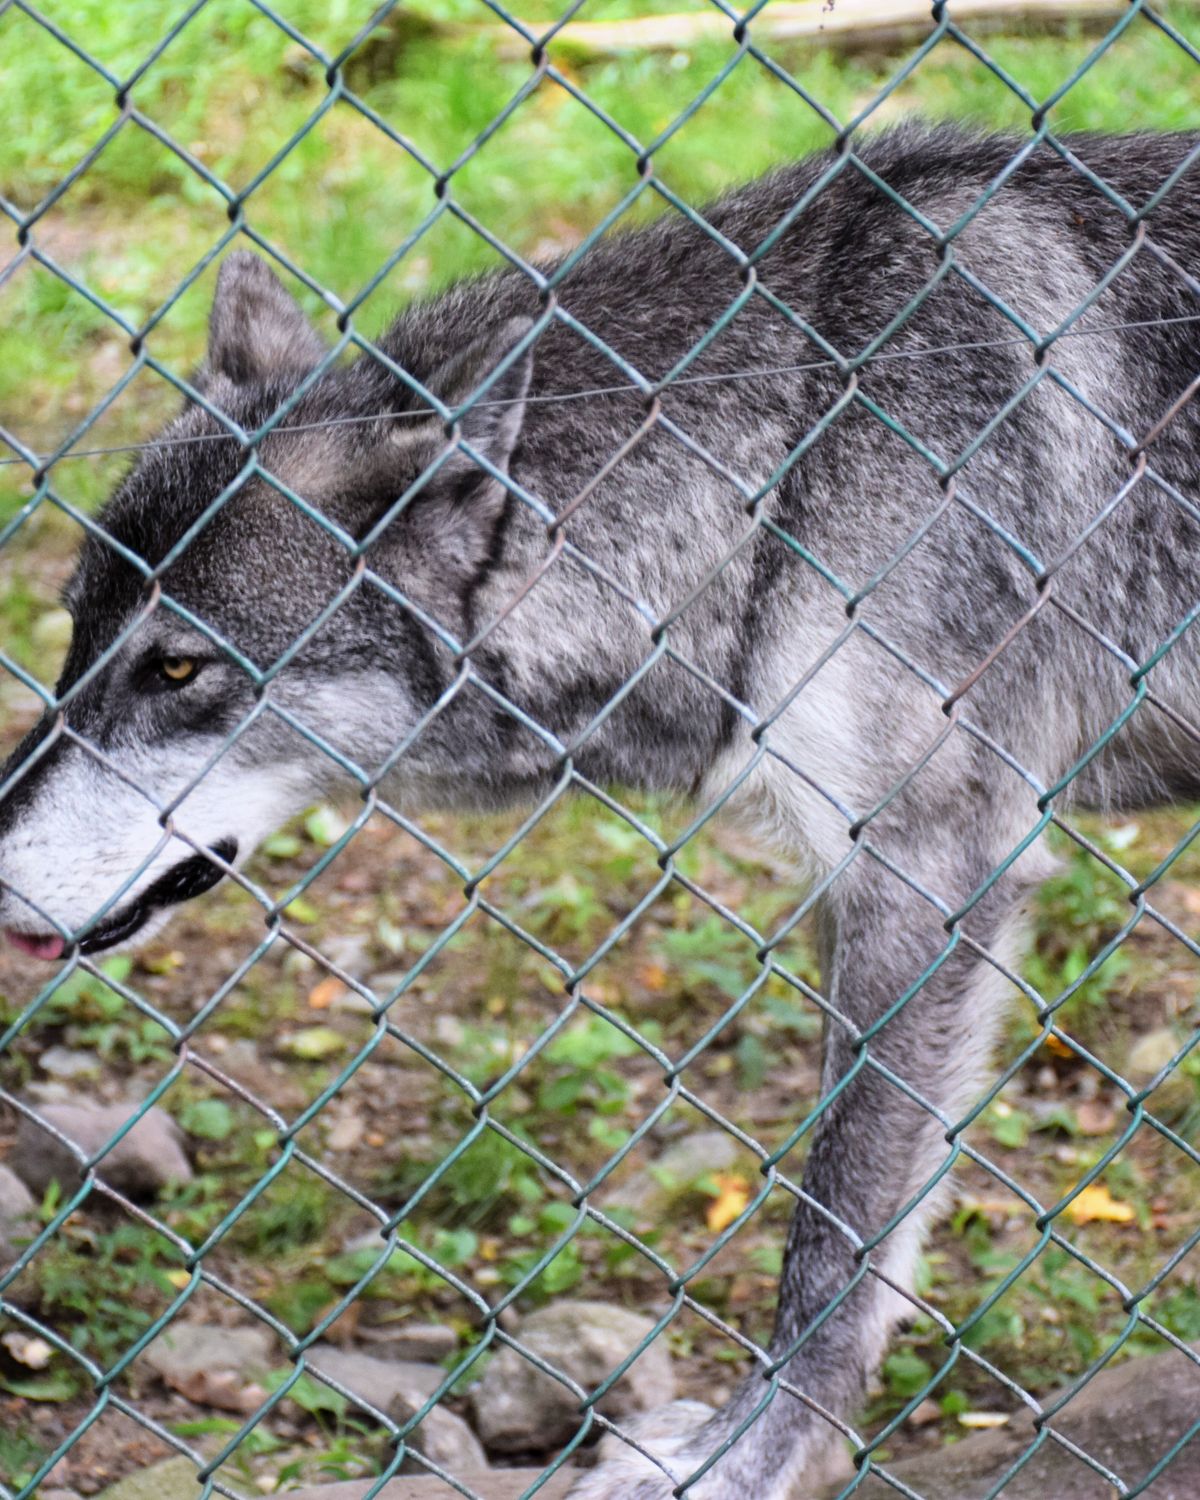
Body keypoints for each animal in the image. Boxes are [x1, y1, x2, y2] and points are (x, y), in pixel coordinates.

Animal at [2, 124, 1199, 1496]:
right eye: (76, 637)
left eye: (178, 668)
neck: (789, 453)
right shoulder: (859, 882)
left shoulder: (930, 869)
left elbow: (834, 1232)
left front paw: (753, 1457)